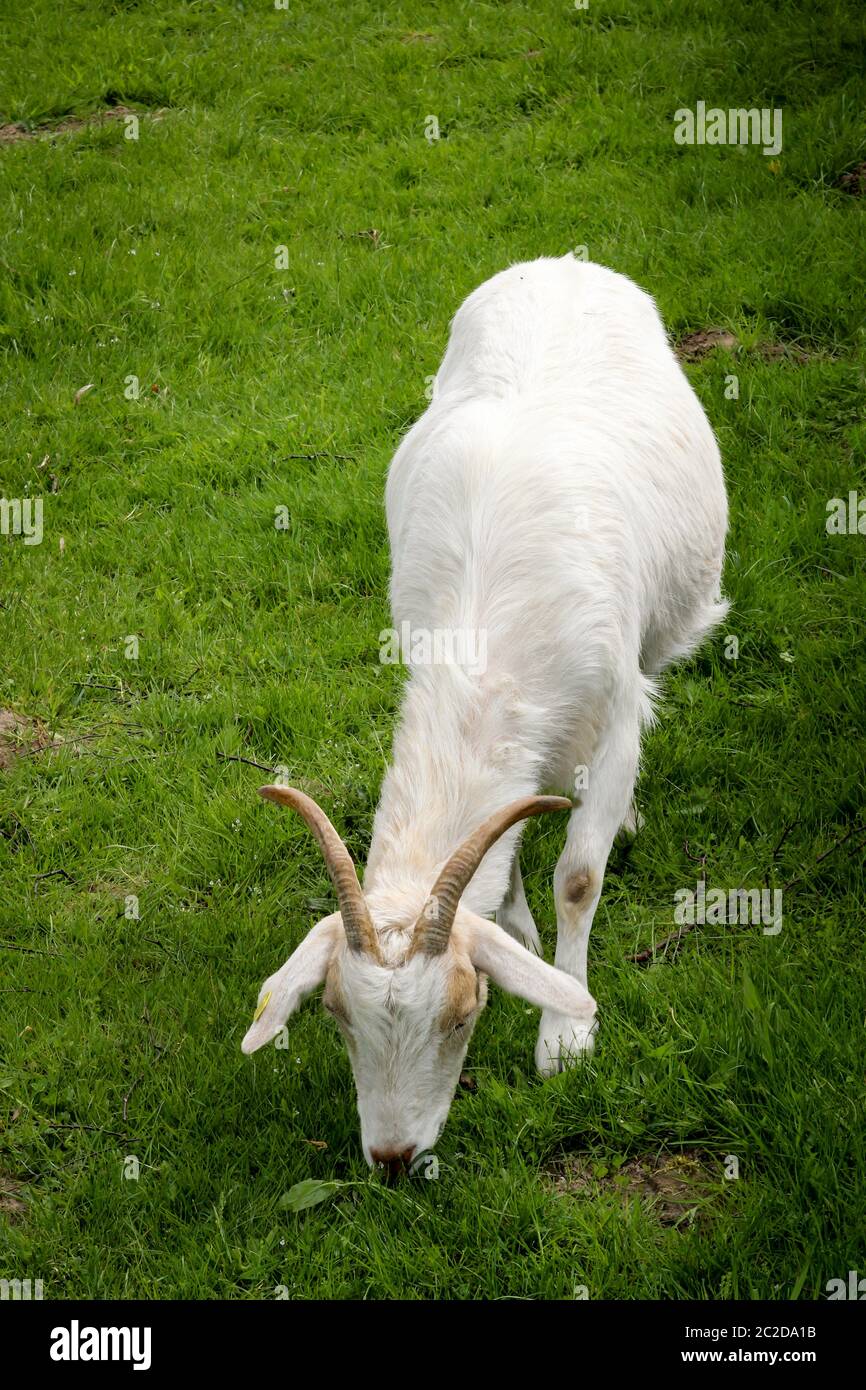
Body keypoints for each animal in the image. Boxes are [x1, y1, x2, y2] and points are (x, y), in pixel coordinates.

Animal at [242, 255, 728, 1173]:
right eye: (337, 1014)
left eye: (464, 1014)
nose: (393, 1159)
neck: (483, 636)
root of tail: (564, 260)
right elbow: (515, 841)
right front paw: (523, 936)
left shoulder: (612, 719)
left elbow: (580, 875)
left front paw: (566, 1034)